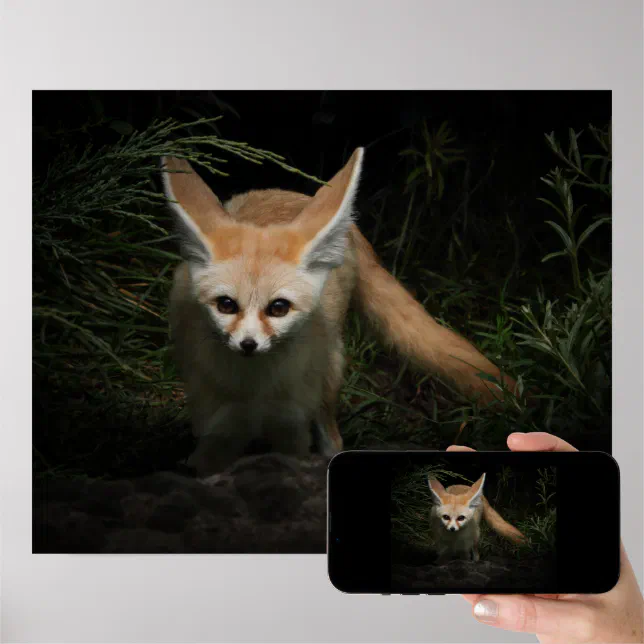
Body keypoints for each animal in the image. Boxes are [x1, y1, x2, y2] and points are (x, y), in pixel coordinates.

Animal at [160, 148, 516, 476]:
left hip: (329, 376)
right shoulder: (217, 427)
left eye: (278, 308)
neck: (255, 391)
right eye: (226, 305)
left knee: (333, 437)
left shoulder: (291, 429)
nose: (248, 345)